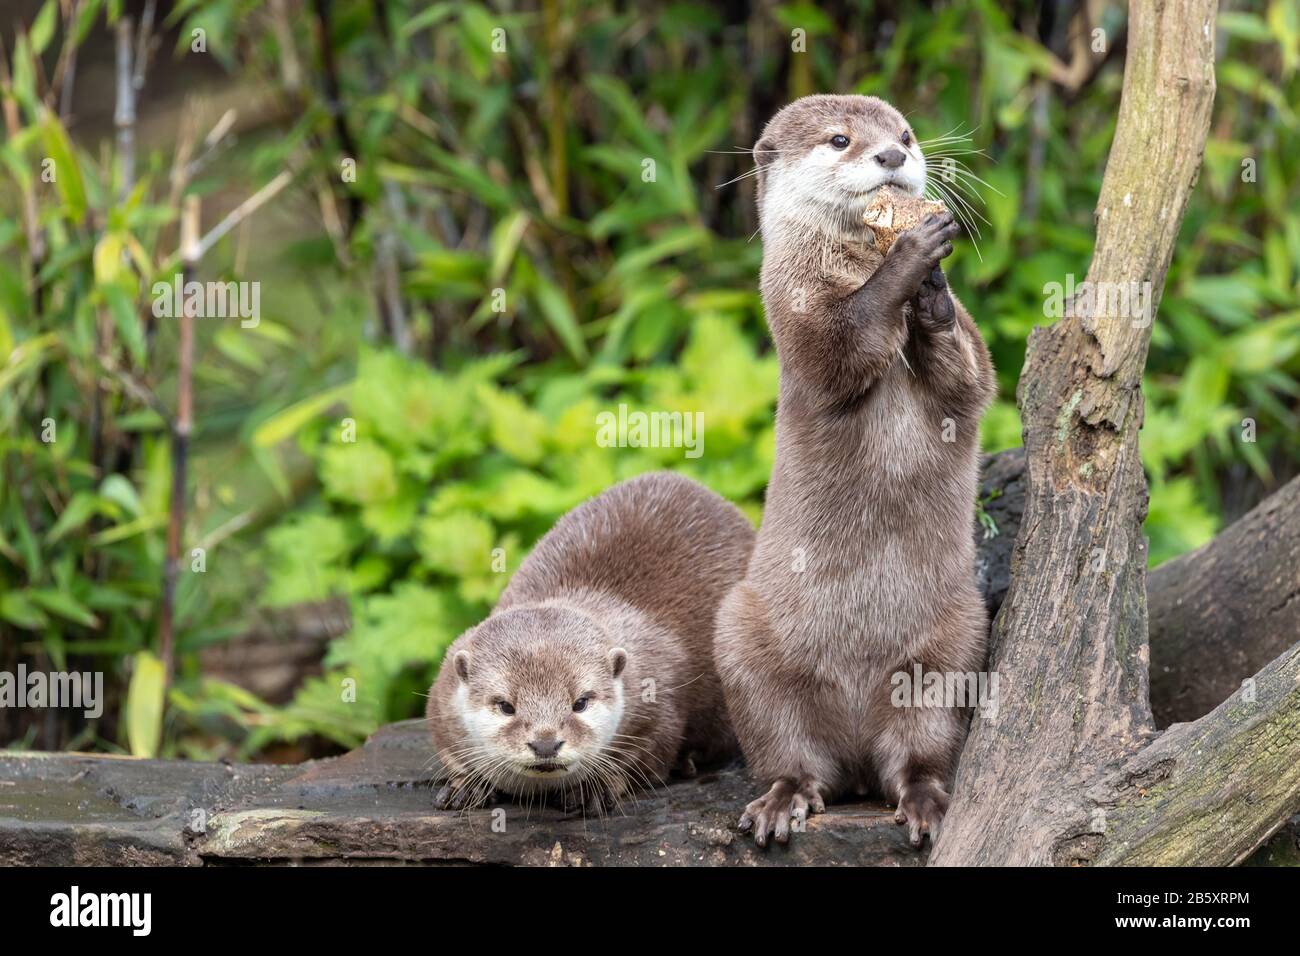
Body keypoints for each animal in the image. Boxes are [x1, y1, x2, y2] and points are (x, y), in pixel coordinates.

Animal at [427, 471, 753, 811]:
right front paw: (467, 786)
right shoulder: (442, 700)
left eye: (580, 702)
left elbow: (646, 759)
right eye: (505, 705)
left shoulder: (657, 704)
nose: (545, 743)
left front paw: (594, 788)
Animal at [715, 95, 995, 848]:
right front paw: (910, 258)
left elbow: (971, 380)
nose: (892, 155)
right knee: (789, 753)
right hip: (742, 642)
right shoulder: (794, 316)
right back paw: (783, 801)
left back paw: (925, 803)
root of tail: (858, 741)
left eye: (905, 134)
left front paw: (933, 292)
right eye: (841, 140)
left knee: (920, 751)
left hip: (952, 646)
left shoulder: (972, 374)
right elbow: (841, 347)